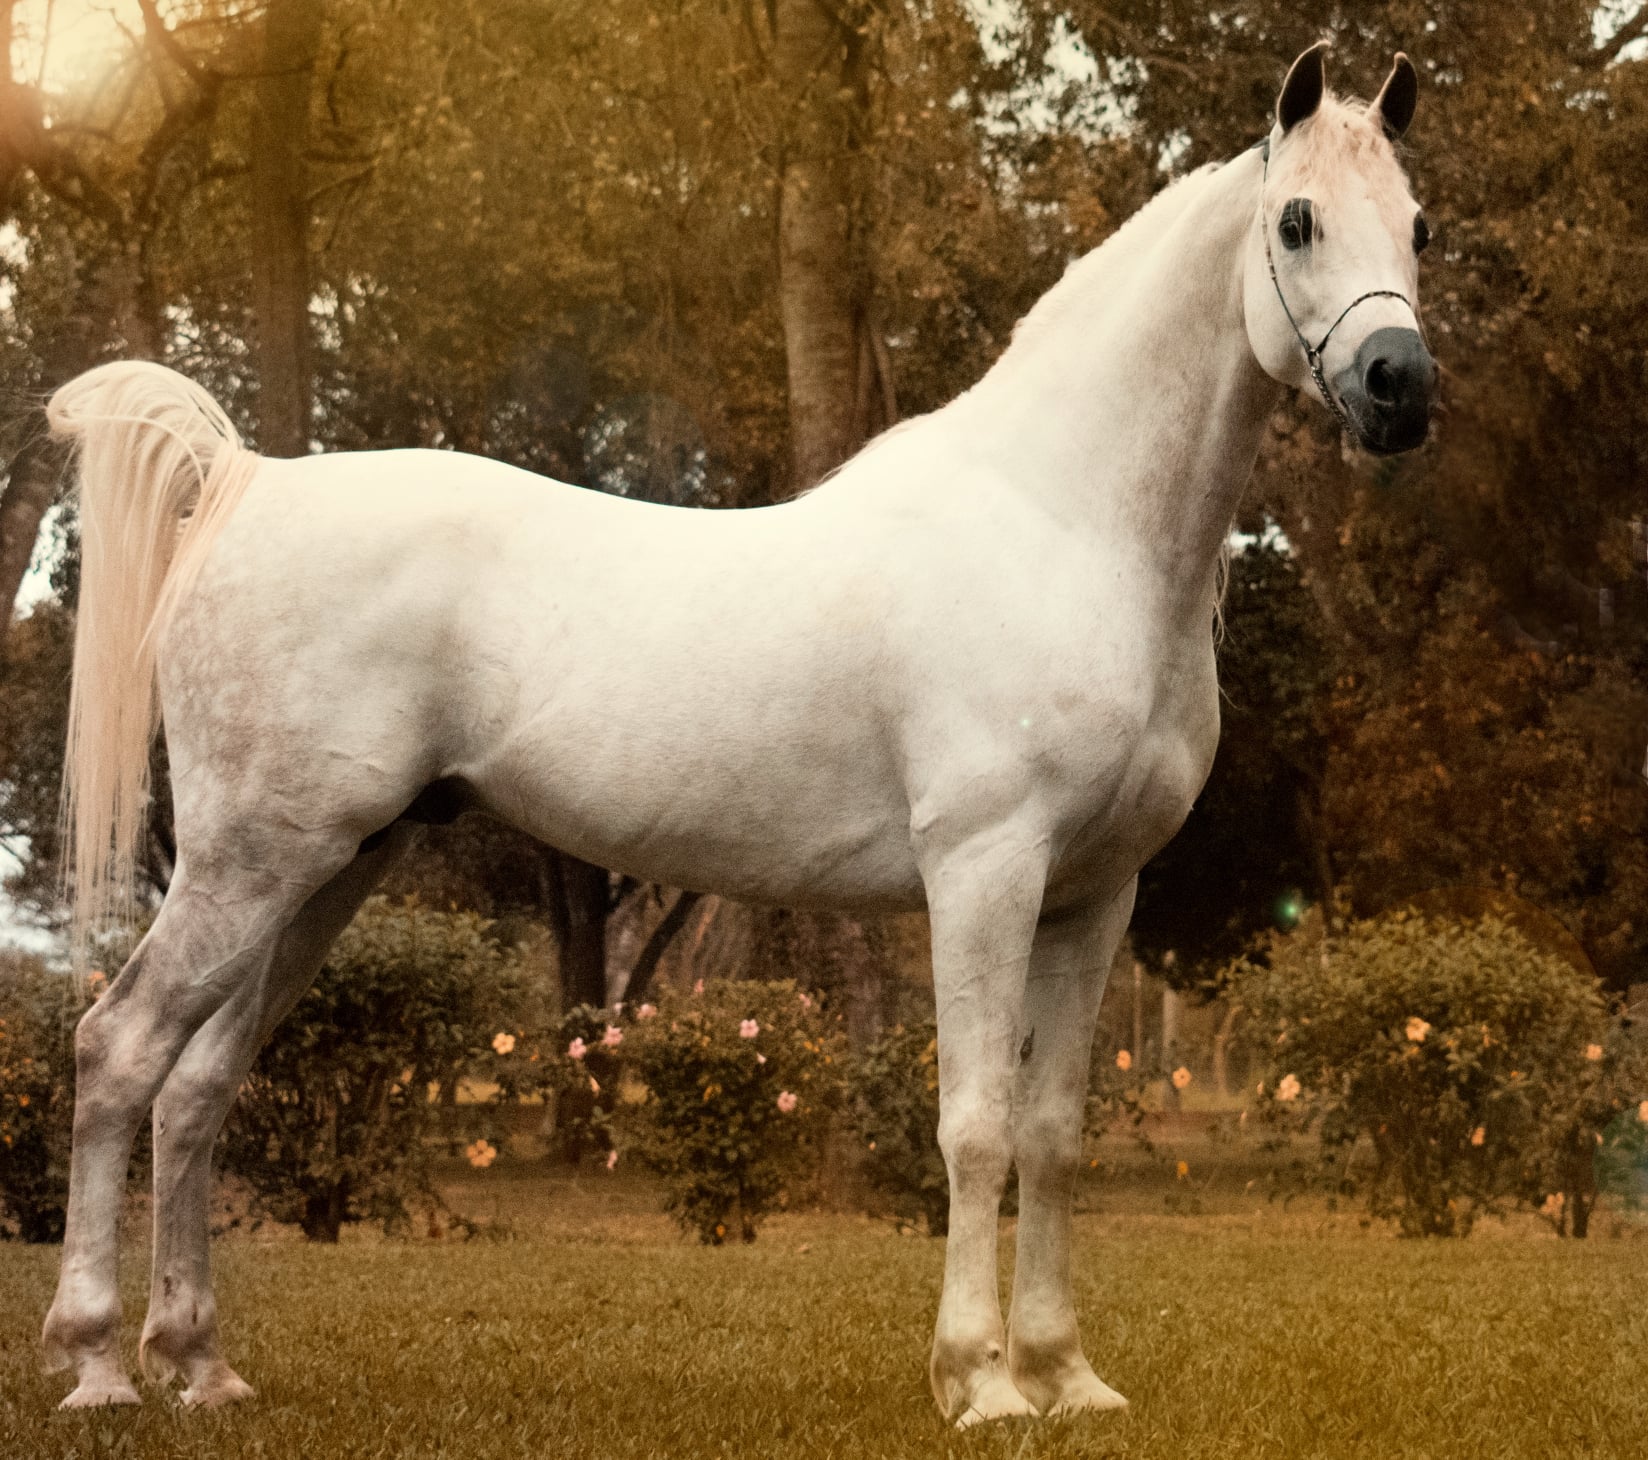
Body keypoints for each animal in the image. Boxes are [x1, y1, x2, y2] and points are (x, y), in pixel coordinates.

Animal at [40, 42, 1436, 1424]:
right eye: (1297, 220)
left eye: (1419, 224)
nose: (1400, 387)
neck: (1061, 523)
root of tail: (246, 485)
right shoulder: (985, 870)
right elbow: (975, 1123)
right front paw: (980, 1380)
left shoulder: (1097, 893)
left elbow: (1050, 1132)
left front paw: (1067, 1376)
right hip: (251, 862)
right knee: (119, 1051)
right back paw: (99, 1366)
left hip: (328, 867)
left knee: (198, 1082)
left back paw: (202, 1366)